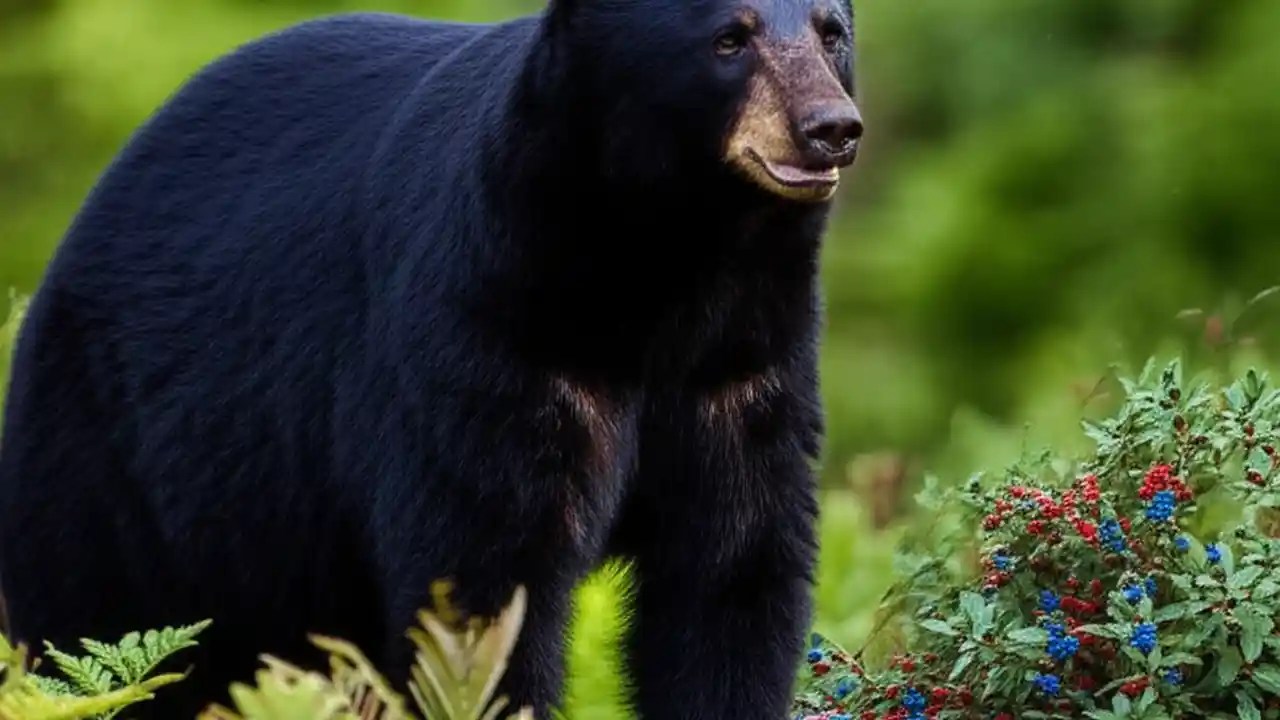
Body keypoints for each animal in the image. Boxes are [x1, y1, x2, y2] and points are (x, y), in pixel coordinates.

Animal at [0, 0, 863, 717]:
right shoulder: (488, 325)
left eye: (831, 32)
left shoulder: (745, 361)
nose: (831, 127)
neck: (669, 271)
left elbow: (731, 578)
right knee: (99, 622)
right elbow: (483, 581)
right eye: (729, 37)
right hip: (114, 459)